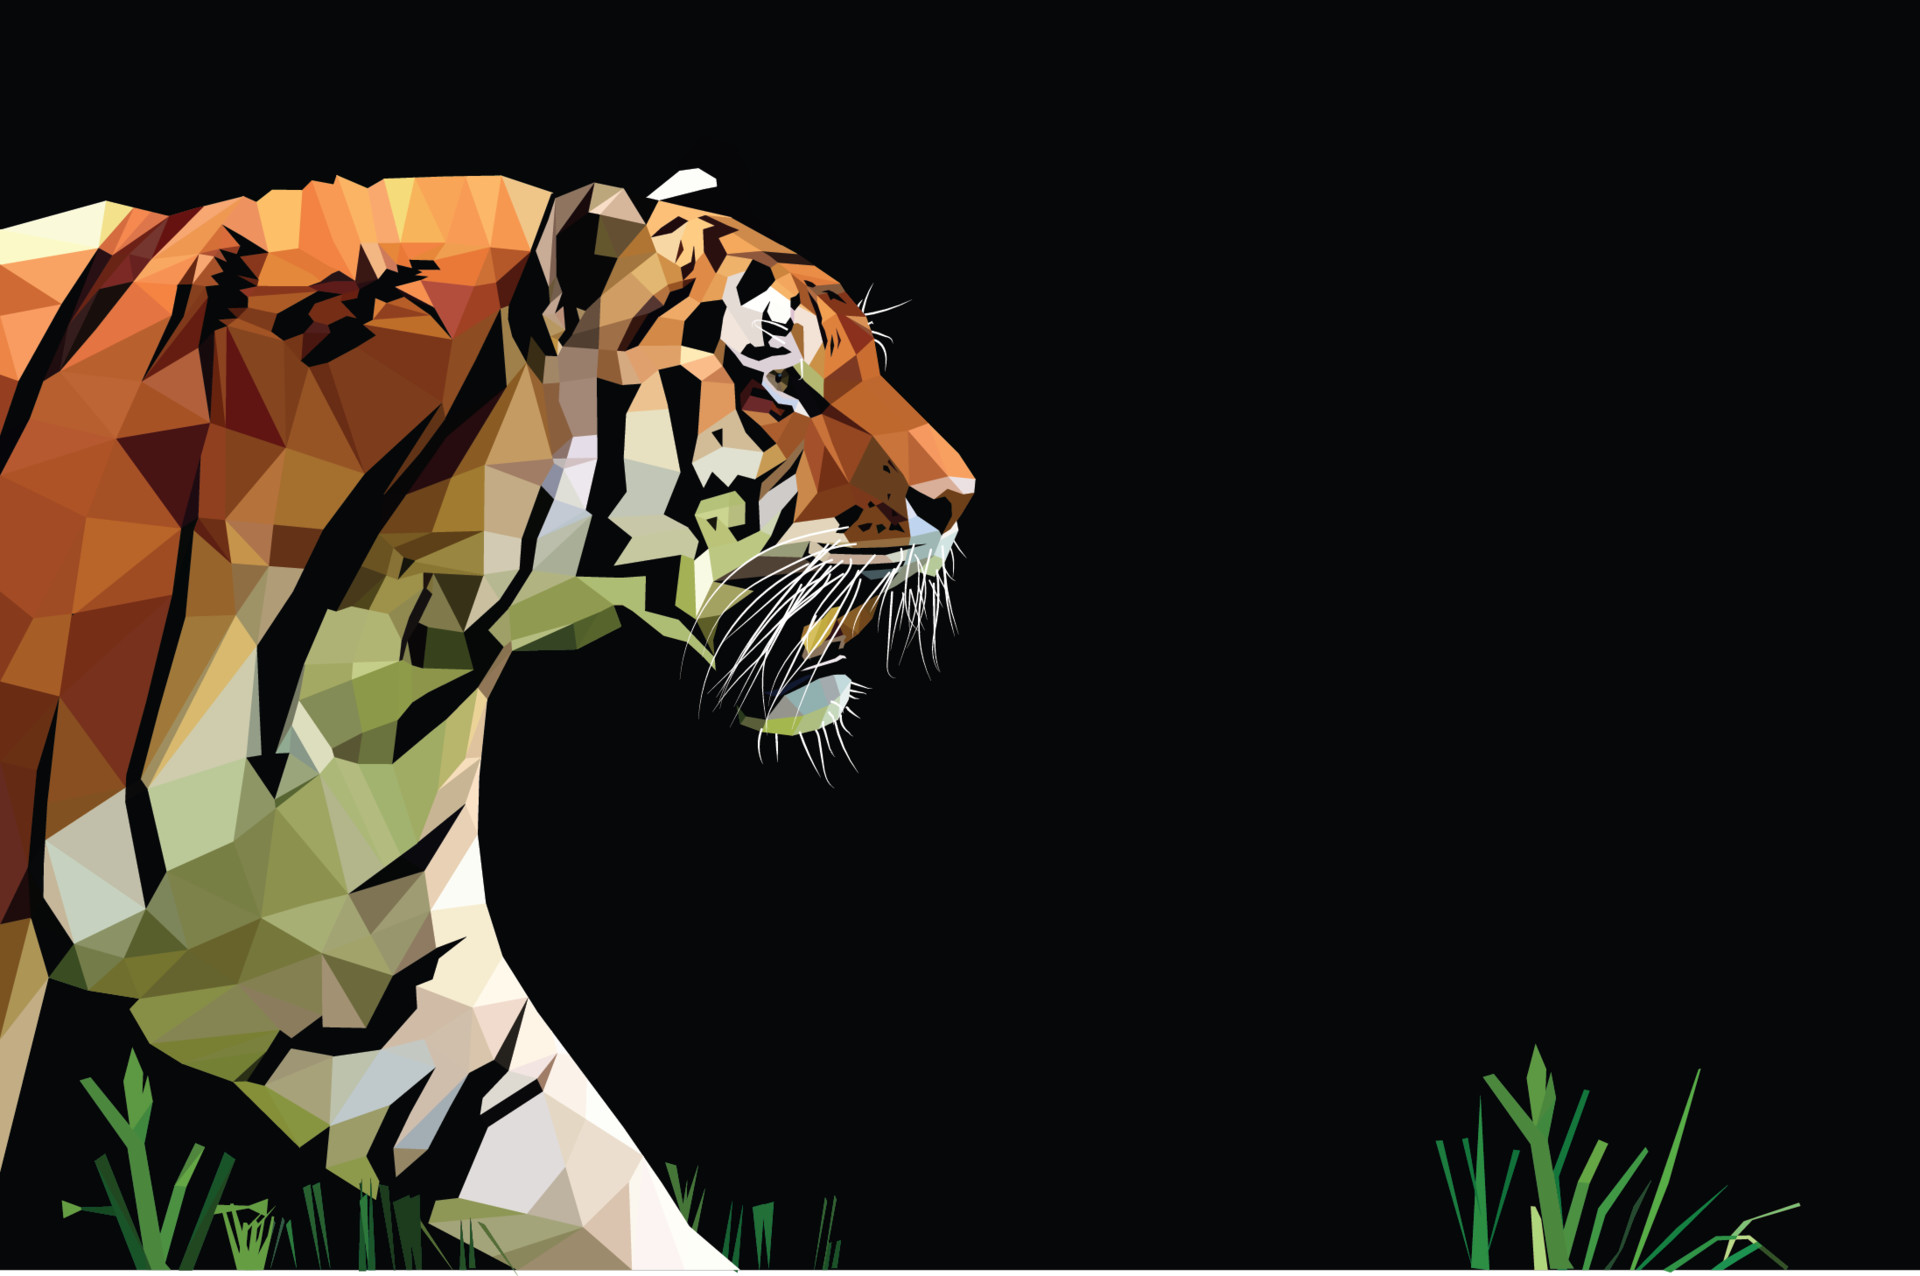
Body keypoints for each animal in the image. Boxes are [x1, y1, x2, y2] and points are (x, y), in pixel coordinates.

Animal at [0, 169, 974, 1268]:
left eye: (870, 357)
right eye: (773, 374)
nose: (962, 498)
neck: (395, 625)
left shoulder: (336, 950)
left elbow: (571, 1164)